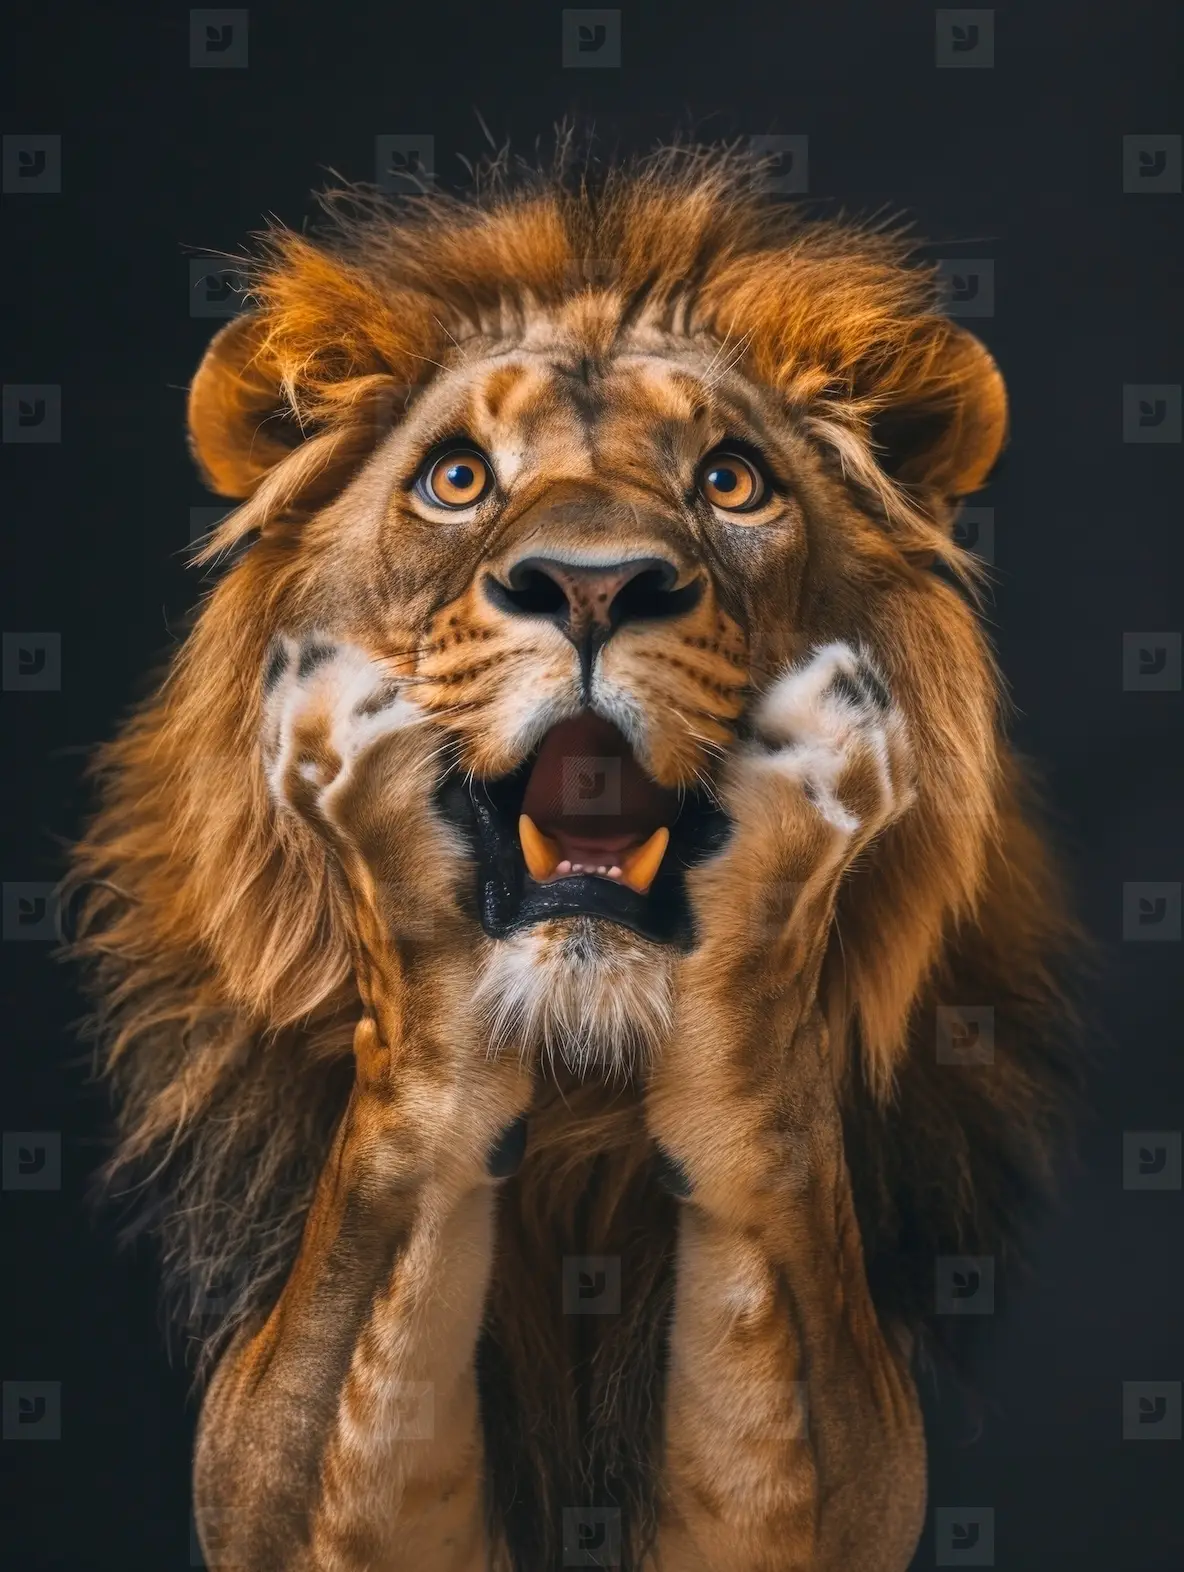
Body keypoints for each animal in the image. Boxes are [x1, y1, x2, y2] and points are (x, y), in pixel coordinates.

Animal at [68, 142, 1080, 1571]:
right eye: (455, 479)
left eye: (729, 481)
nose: (592, 588)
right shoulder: (264, 1468)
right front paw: (358, 781)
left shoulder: (853, 1484)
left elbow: (755, 1076)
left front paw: (807, 806)